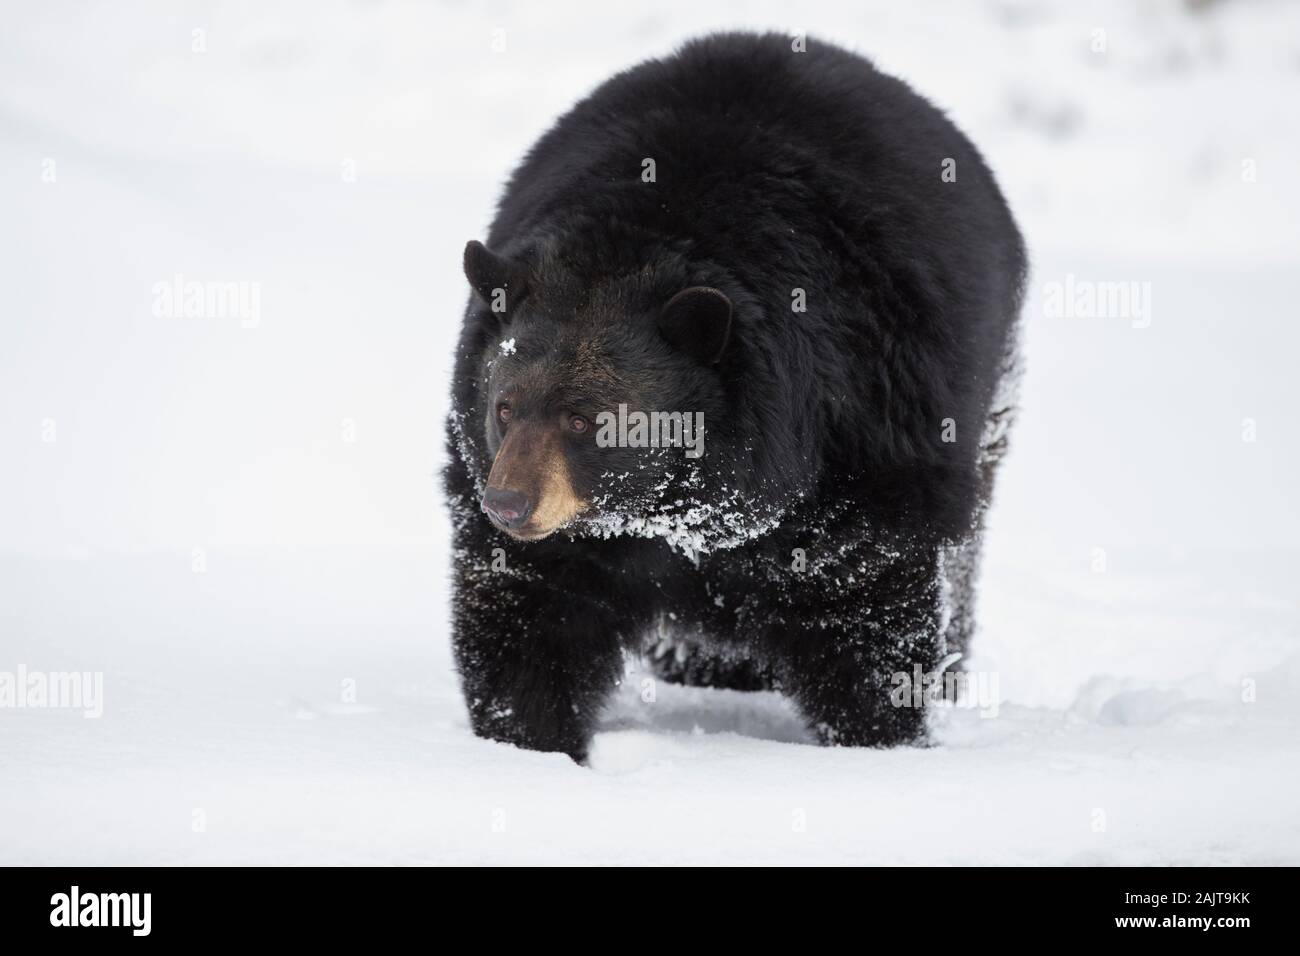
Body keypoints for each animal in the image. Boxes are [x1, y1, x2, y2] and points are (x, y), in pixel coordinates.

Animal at [444, 31, 1026, 763]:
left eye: (586, 420)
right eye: (503, 408)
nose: (508, 503)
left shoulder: (866, 445)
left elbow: (866, 606)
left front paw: (882, 741)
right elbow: (531, 613)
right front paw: (528, 744)